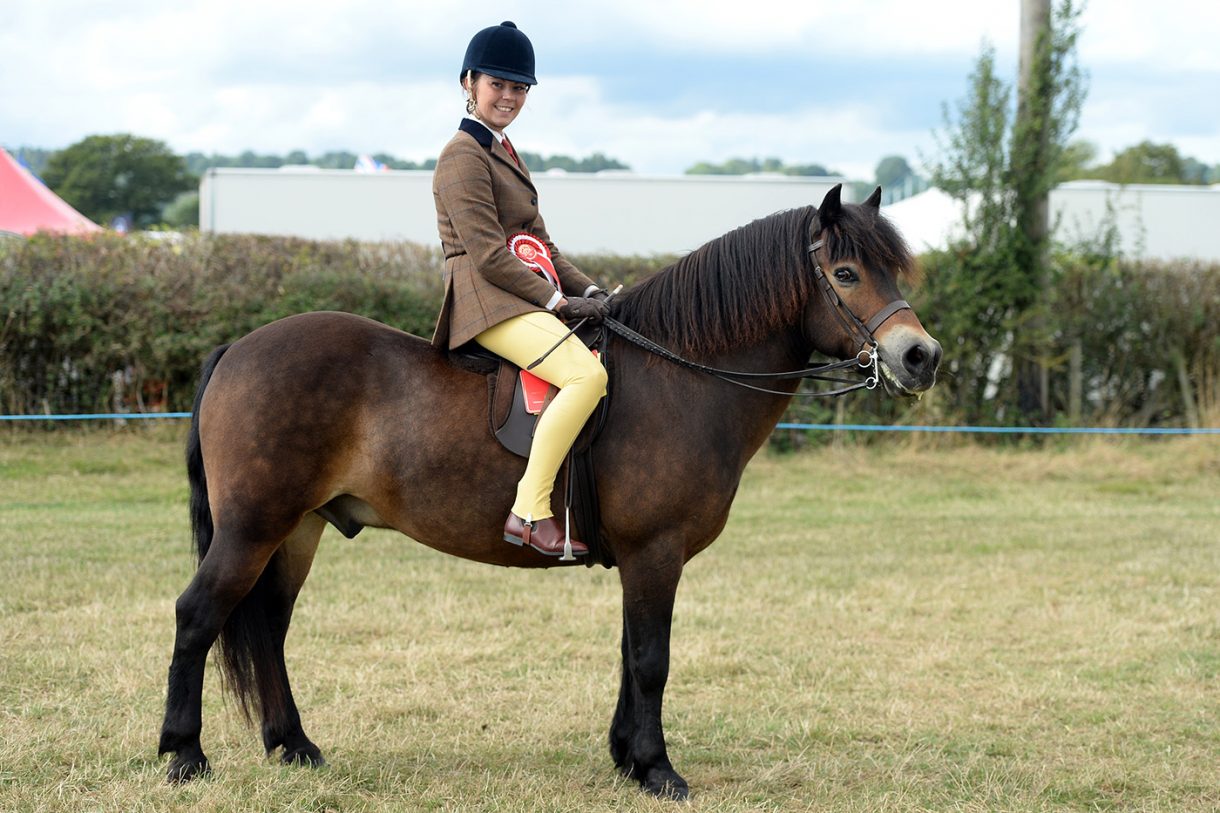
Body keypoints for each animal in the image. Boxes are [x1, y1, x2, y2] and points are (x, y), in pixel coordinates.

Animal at [158, 184, 940, 800]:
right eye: (846, 272)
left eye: (892, 267)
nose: (920, 356)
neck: (683, 375)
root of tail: (239, 349)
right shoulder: (655, 552)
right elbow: (651, 658)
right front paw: (659, 771)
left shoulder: (642, 558)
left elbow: (630, 652)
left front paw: (628, 759)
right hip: (253, 528)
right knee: (198, 615)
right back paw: (184, 755)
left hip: (297, 530)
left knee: (269, 626)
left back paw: (293, 745)